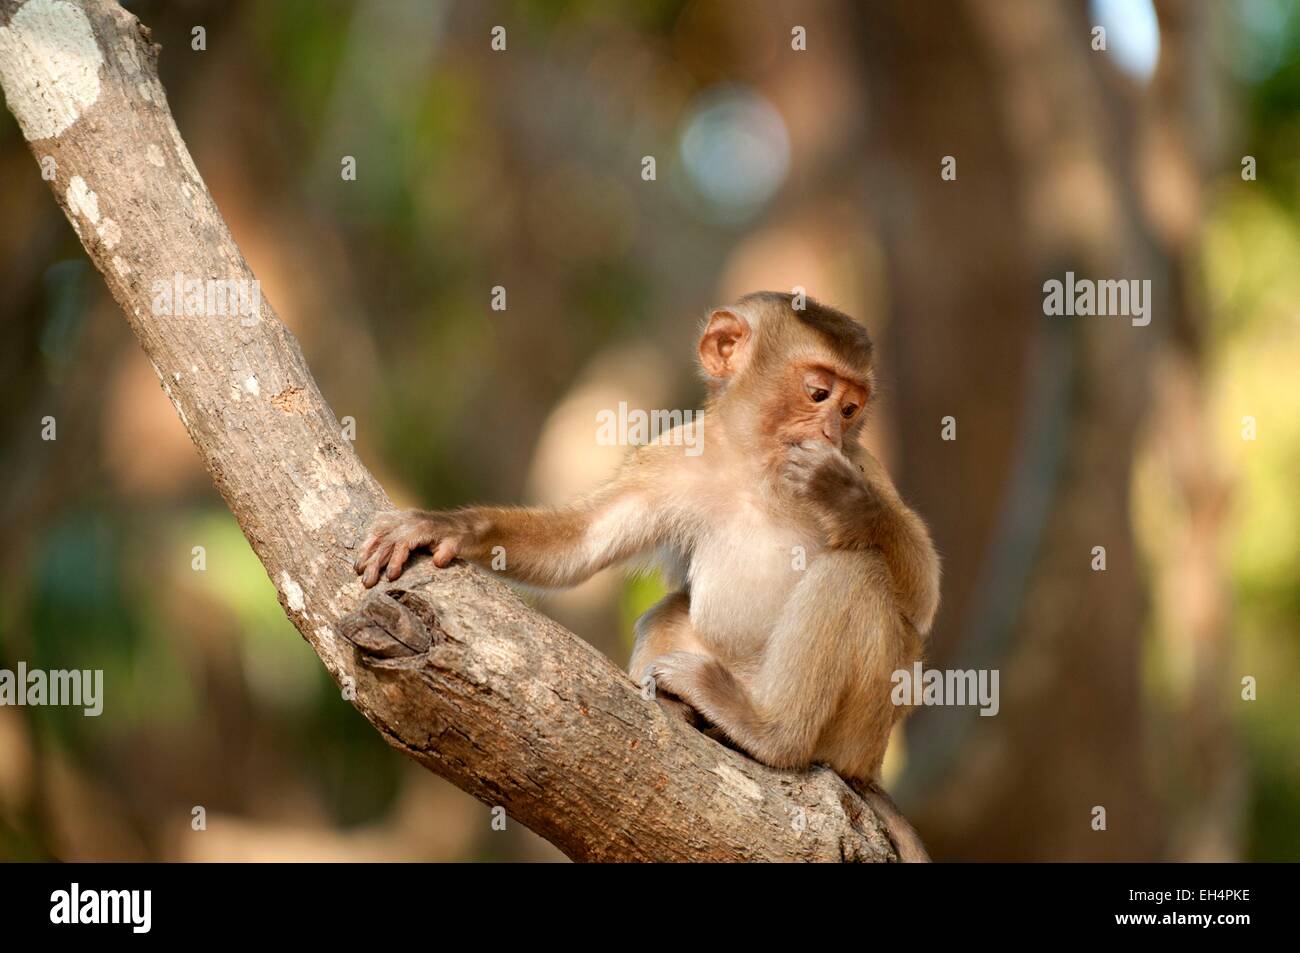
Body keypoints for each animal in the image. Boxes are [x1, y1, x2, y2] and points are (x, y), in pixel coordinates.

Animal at [353, 291, 940, 861]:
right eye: (819, 393)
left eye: (851, 409)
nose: (830, 431)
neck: (755, 469)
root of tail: (868, 766)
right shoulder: (671, 460)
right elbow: (581, 543)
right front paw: (446, 527)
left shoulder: (863, 462)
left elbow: (923, 594)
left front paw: (843, 497)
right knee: (674, 608)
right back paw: (694, 714)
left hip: (857, 728)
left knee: (856, 571)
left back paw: (770, 732)